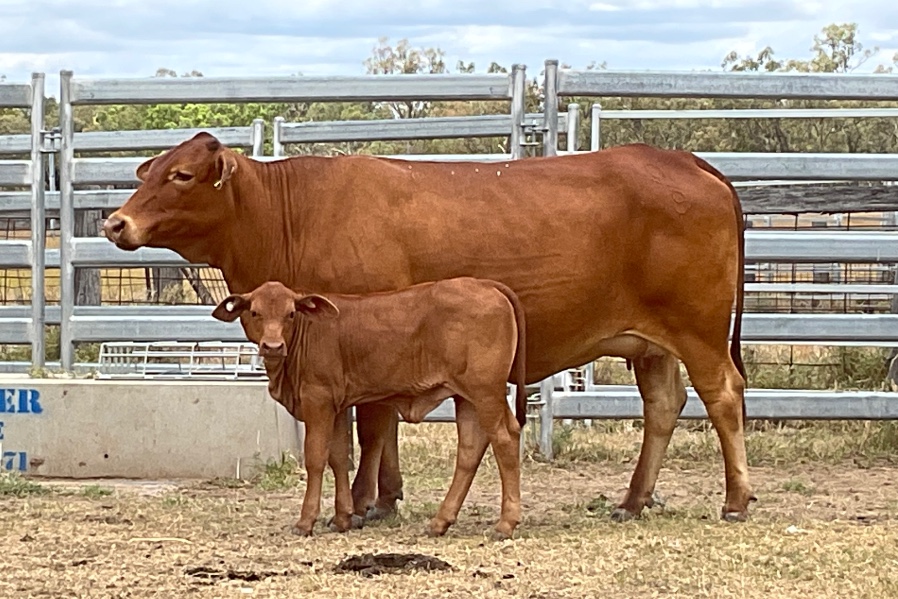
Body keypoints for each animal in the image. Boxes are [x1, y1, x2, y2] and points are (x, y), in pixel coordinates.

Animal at [210, 277, 528, 538]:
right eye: (255, 312)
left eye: (290, 313)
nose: (272, 346)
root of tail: (485, 284)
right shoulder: (337, 406)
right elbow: (338, 457)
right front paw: (342, 518)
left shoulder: (318, 401)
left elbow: (316, 458)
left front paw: (306, 521)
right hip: (467, 398)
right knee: (470, 450)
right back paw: (440, 522)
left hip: (485, 393)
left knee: (505, 438)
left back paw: (505, 524)